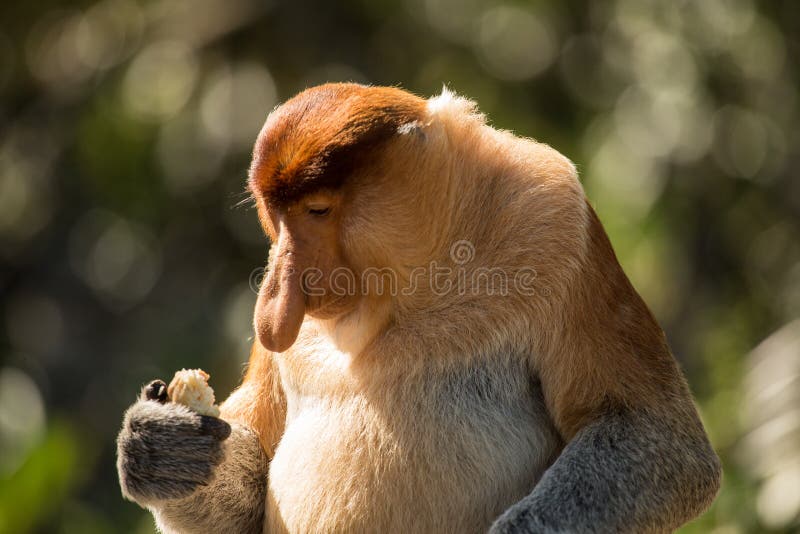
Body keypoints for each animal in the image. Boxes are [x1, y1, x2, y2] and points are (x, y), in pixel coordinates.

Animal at [117, 83, 721, 533]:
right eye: (276, 217)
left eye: (318, 210)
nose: (274, 303)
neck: (417, 281)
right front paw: (156, 443)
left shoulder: (557, 221)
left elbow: (653, 433)